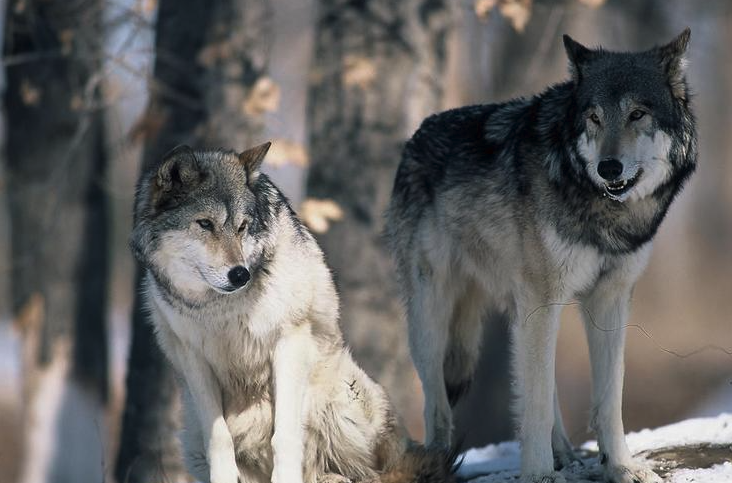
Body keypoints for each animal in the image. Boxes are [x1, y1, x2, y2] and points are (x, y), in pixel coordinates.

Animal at [130, 143, 457, 483]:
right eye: (205, 224)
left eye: (242, 227)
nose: (240, 275)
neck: (220, 307)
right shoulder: (193, 358)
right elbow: (219, 439)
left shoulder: (289, 341)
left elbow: (285, 435)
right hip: (191, 429)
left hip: (343, 397)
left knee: (376, 470)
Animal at [385, 29, 696, 483]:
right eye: (594, 117)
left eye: (638, 114)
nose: (608, 168)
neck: (600, 208)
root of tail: (416, 135)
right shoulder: (543, 300)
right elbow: (533, 405)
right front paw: (538, 473)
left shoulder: (609, 299)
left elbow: (608, 399)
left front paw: (619, 466)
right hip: (434, 316)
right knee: (437, 405)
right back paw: (440, 463)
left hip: (524, 309)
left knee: (542, 386)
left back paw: (565, 455)